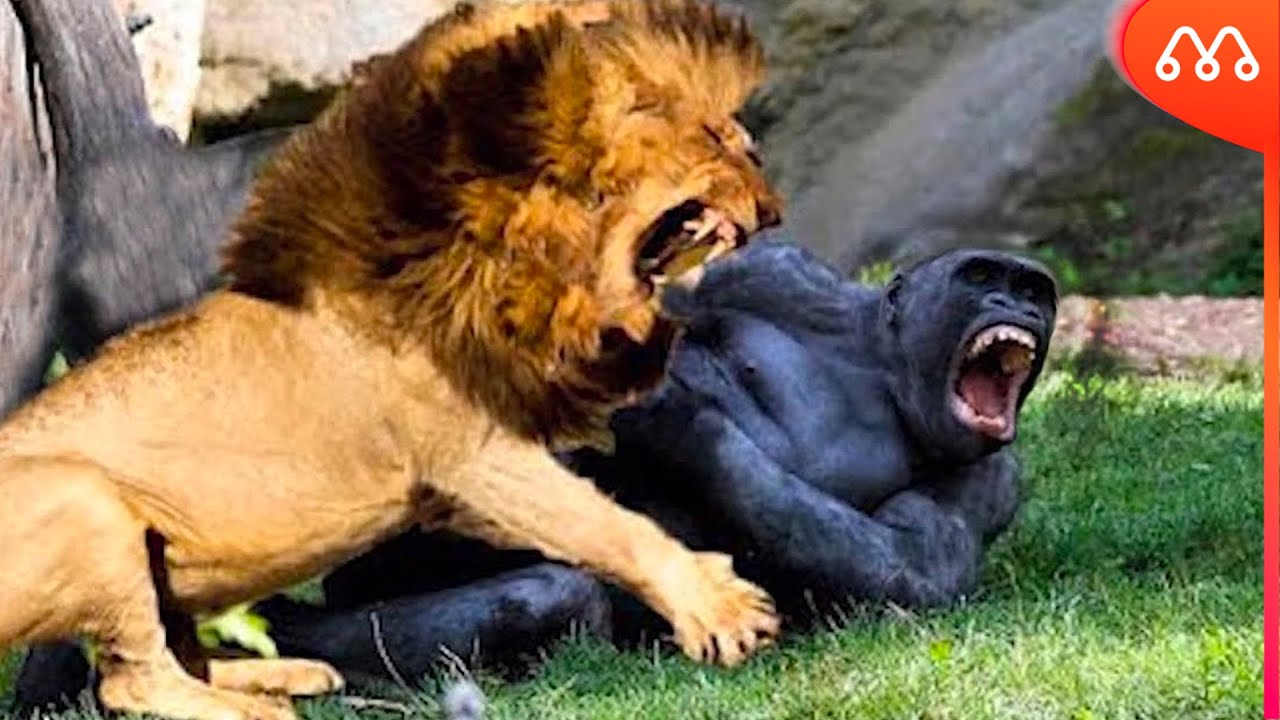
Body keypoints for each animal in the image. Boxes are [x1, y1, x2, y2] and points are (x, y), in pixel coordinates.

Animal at [0, 1, 785, 718]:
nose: (767, 184)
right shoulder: (471, 453)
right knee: (128, 681)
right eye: (712, 133)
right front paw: (720, 611)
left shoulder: (456, 486)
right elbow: (605, 525)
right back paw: (262, 707)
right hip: (88, 504)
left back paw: (286, 676)